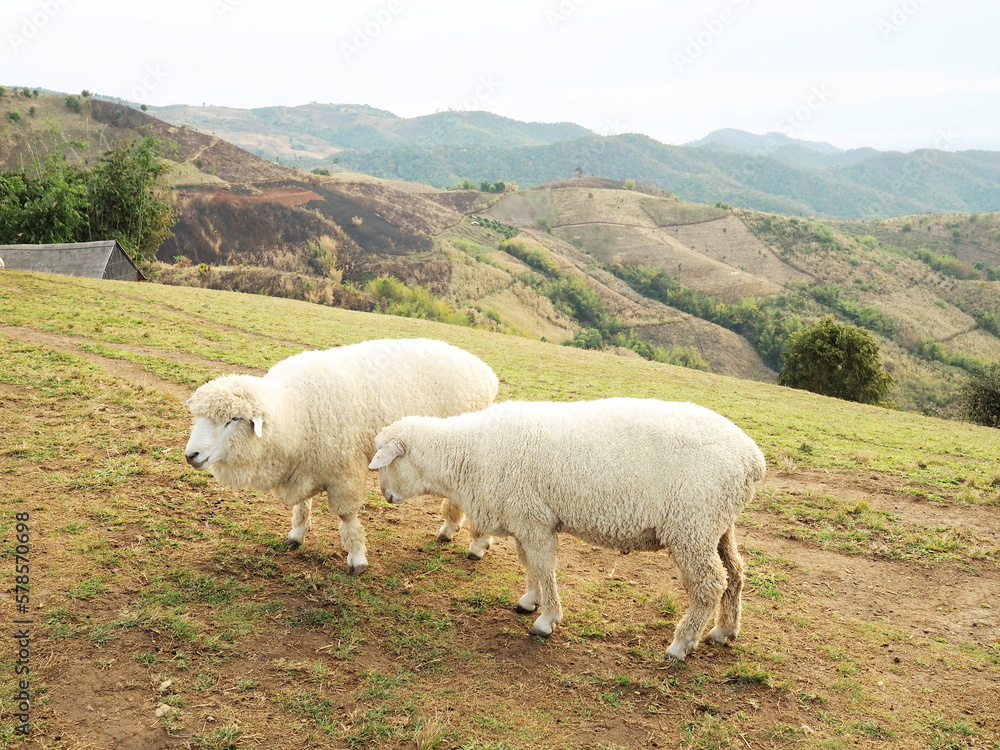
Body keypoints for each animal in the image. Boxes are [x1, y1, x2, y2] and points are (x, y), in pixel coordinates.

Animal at [184, 338, 499, 574]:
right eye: (198, 416)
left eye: (233, 419)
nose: (191, 455)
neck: (293, 411)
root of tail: (485, 370)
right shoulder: (305, 462)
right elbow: (303, 504)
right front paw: (297, 533)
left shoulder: (343, 469)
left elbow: (347, 517)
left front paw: (357, 557)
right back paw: (450, 529)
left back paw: (476, 543)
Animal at [369, 398, 766, 660]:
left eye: (387, 463)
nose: (387, 497)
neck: (467, 455)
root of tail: (753, 460)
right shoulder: (524, 519)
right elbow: (529, 563)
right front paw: (529, 600)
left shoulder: (533, 518)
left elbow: (544, 568)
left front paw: (546, 619)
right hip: (718, 524)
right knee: (735, 573)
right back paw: (724, 631)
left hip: (691, 526)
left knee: (709, 584)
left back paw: (682, 643)